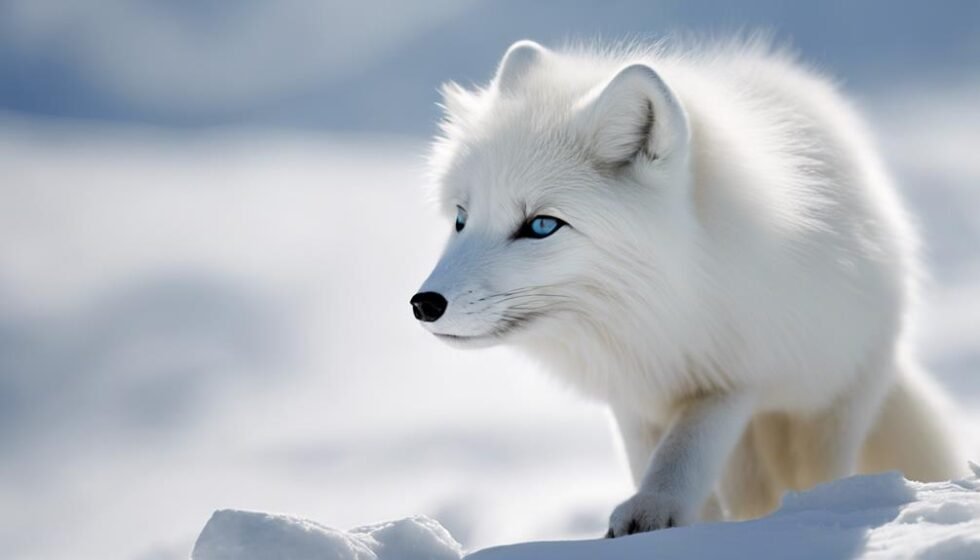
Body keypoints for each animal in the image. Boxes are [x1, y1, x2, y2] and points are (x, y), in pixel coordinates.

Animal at [410, 38, 964, 537]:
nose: (424, 304)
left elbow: (685, 450)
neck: (656, 315)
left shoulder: (734, 373)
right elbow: (653, 458)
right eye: (461, 218)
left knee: (814, 471)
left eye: (541, 226)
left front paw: (654, 511)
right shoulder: (632, 394)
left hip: (830, 406)